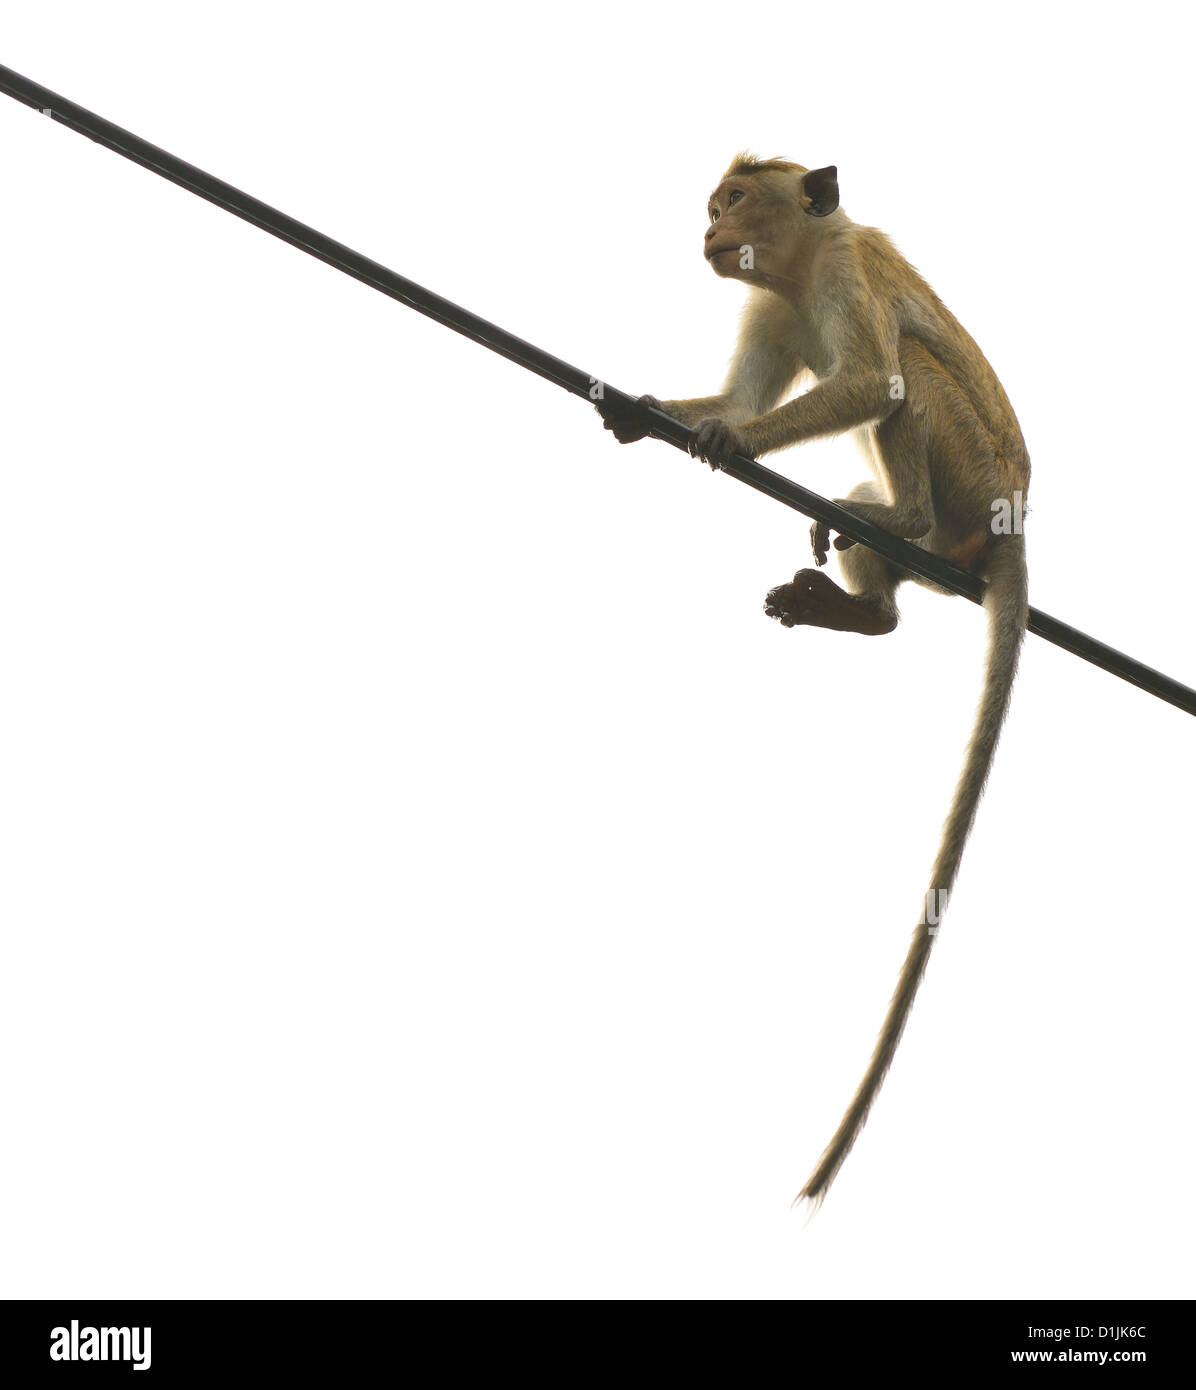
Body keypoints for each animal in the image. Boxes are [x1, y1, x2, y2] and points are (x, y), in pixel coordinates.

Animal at [597, 154, 1029, 1206]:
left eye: (734, 201)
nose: (708, 231)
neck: (795, 273)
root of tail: (1016, 525)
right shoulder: (767, 306)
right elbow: (739, 396)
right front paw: (655, 413)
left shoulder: (843, 275)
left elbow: (872, 378)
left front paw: (735, 447)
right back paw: (870, 608)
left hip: (973, 474)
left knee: (910, 374)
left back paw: (901, 520)